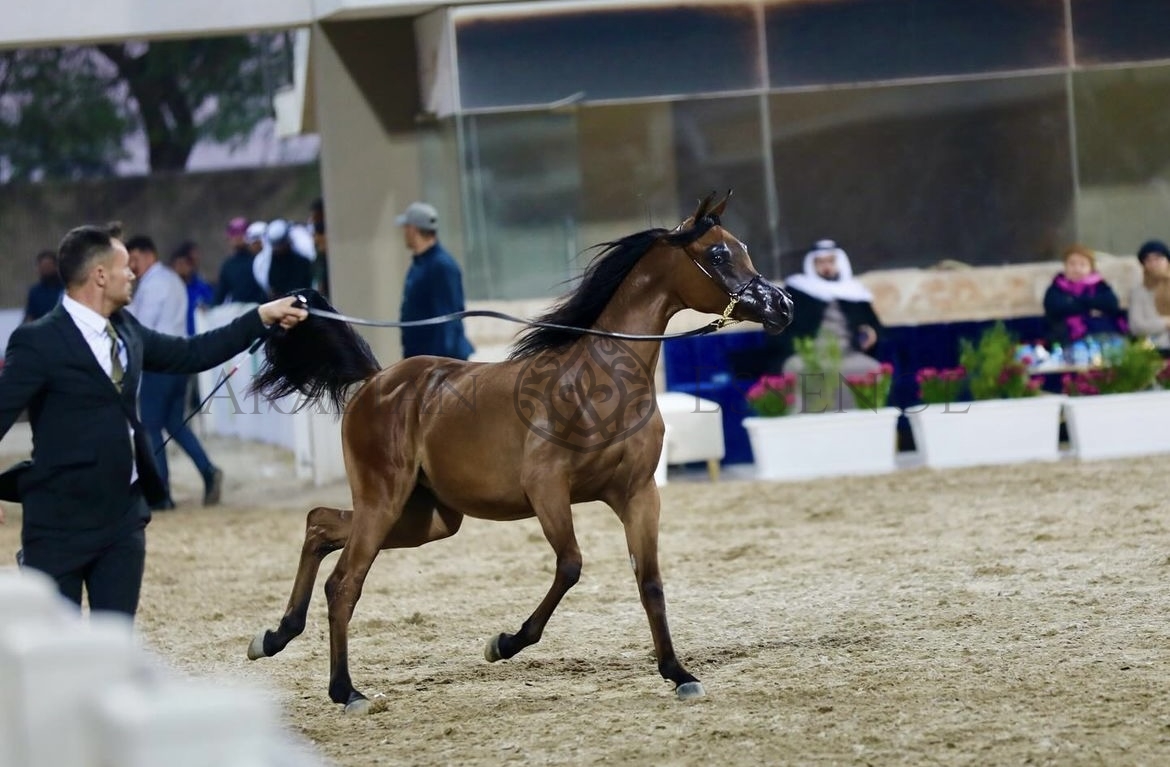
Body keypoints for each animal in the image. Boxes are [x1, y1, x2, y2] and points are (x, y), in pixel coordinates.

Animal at [244, 192, 793, 713]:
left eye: (743, 247)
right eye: (719, 253)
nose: (782, 306)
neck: (599, 385)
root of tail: (378, 380)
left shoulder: (638, 495)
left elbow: (650, 583)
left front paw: (679, 674)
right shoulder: (548, 490)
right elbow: (570, 566)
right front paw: (502, 644)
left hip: (428, 518)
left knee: (319, 524)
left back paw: (274, 636)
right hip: (385, 500)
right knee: (344, 583)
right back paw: (346, 691)